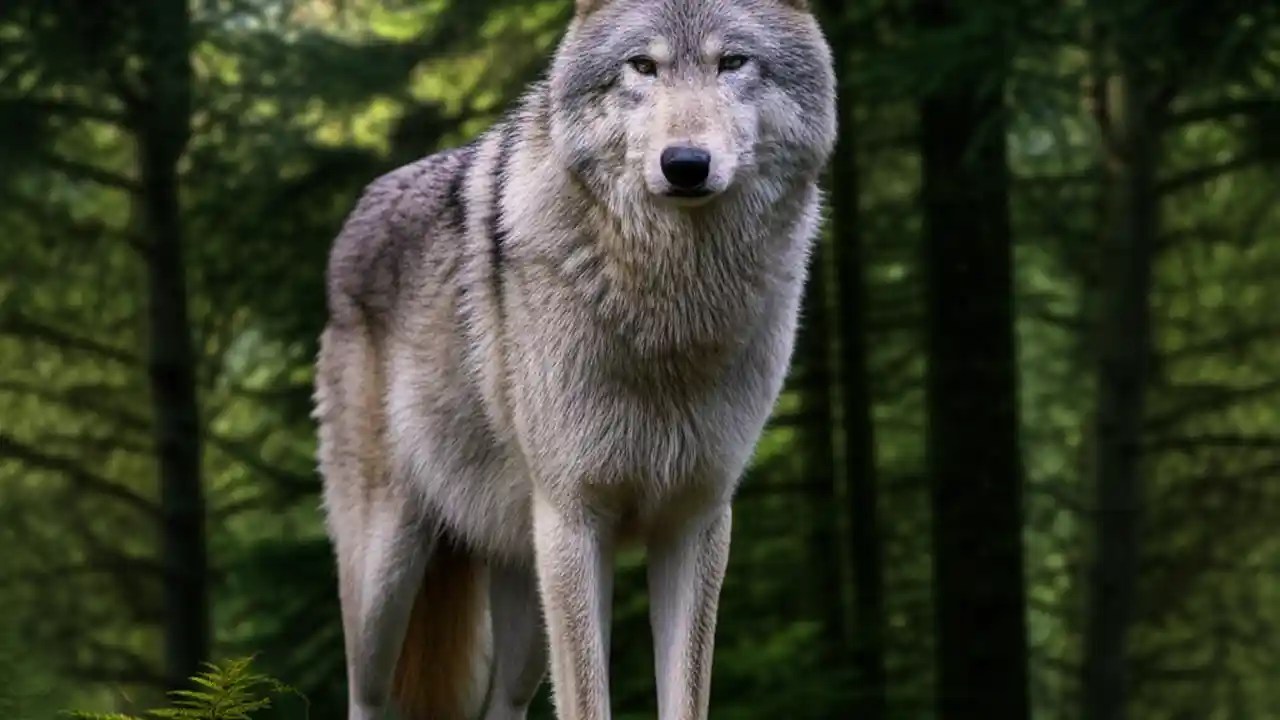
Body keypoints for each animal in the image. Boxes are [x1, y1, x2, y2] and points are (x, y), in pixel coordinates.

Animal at [313, 0, 836, 718]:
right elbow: (590, 700)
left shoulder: (696, 521)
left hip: (524, 612)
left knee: (502, 706)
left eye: (732, 61)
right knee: (364, 693)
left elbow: (685, 697)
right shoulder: (574, 519)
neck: (668, 310)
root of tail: (354, 217)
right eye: (642, 65)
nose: (686, 163)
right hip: (387, 586)